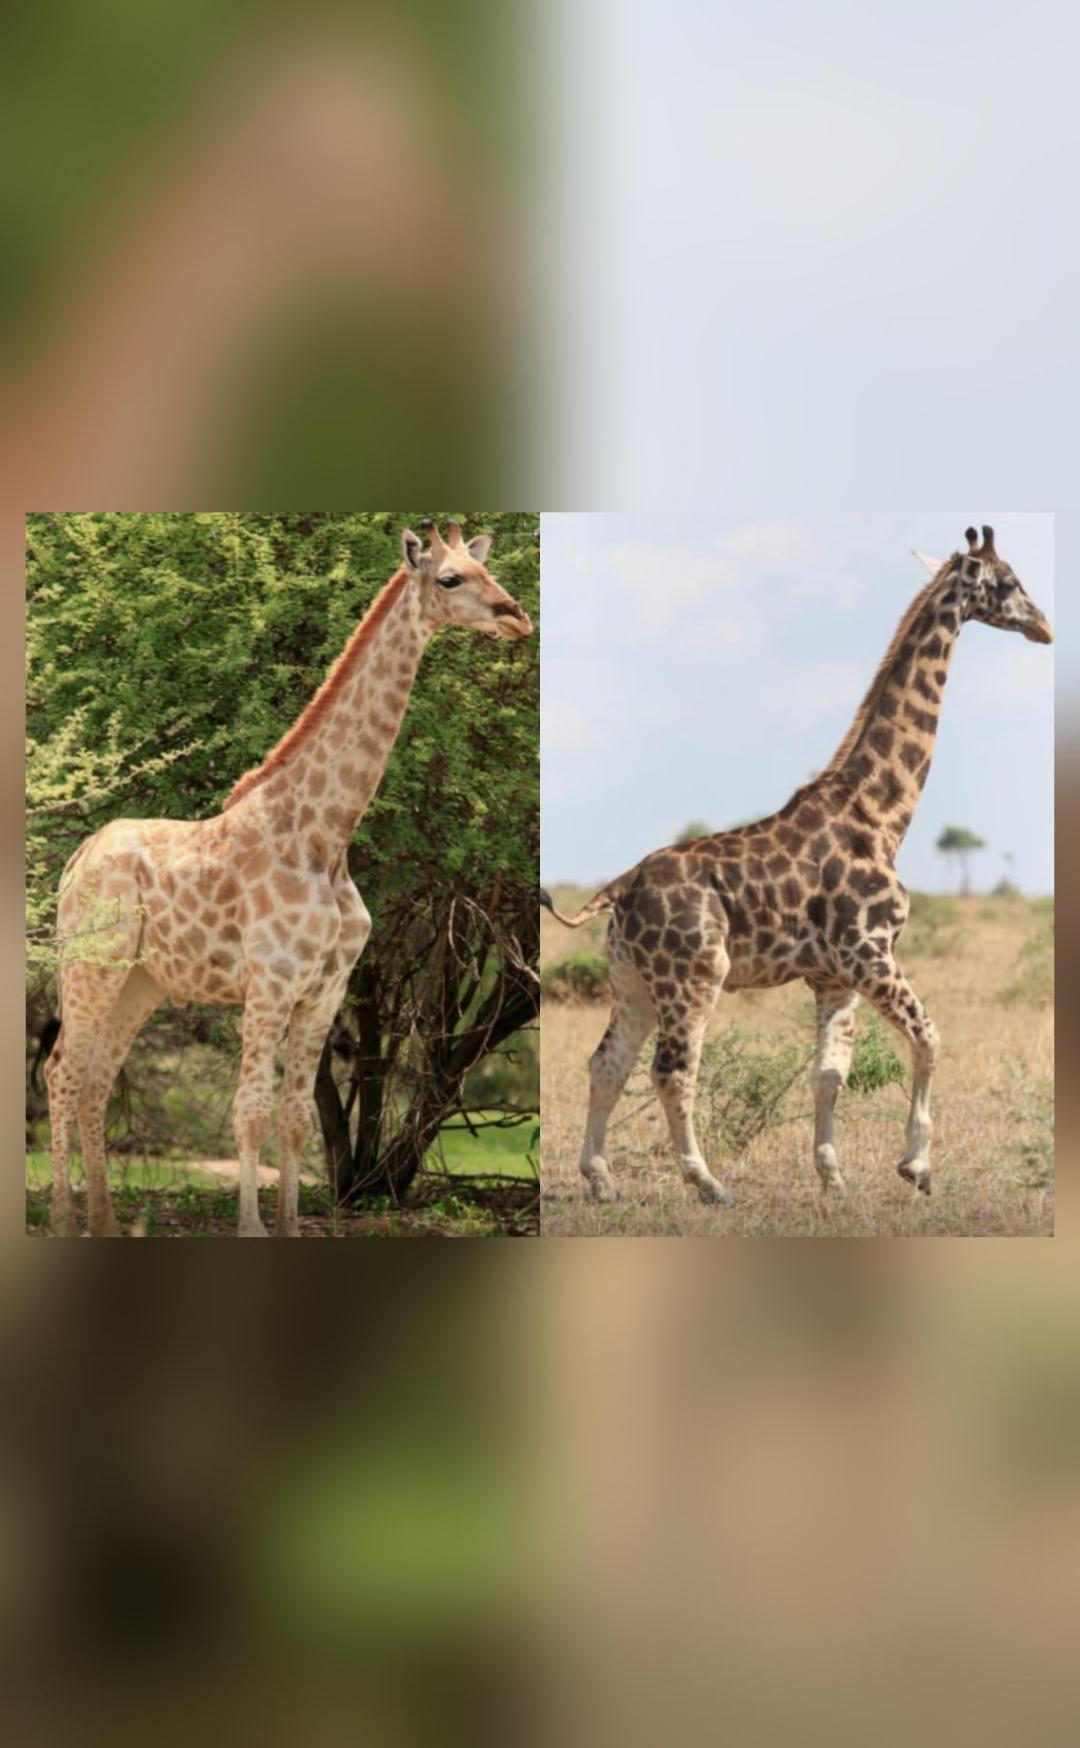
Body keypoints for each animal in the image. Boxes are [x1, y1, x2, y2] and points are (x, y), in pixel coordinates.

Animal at [45, 521, 532, 1237]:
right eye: (451, 578)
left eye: (486, 569)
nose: (516, 616)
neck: (324, 839)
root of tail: (79, 857)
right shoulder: (270, 983)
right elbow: (250, 1111)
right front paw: (252, 1227)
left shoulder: (325, 991)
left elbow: (299, 1119)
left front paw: (291, 1225)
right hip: (90, 966)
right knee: (62, 1072)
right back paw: (61, 1221)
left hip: (141, 979)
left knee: (97, 1077)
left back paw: (104, 1225)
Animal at [542, 526, 1052, 1207]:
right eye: (1010, 581)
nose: (1044, 626)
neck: (881, 815)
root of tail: (621, 888)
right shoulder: (871, 952)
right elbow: (930, 1037)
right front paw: (915, 1166)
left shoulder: (834, 975)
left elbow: (829, 1074)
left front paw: (833, 1176)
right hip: (694, 974)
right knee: (672, 1070)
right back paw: (707, 1182)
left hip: (631, 979)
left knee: (607, 1063)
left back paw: (601, 1180)